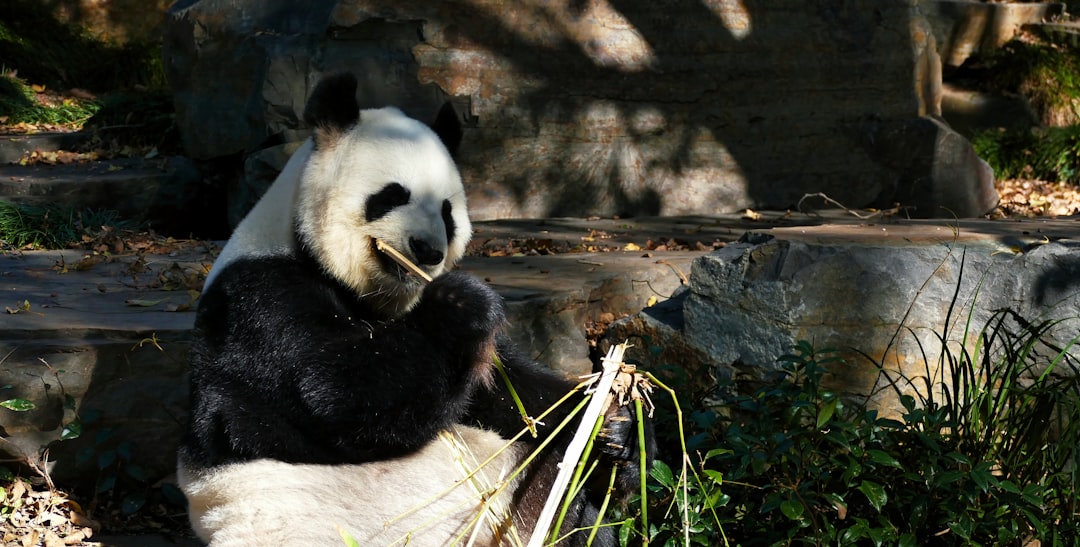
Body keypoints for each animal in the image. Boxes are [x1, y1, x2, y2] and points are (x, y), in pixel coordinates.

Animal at [177, 72, 652, 547]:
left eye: (447, 212)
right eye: (391, 196)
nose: (426, 250)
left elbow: (517, 398)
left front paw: (617, 426)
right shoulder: (260, 299)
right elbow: (337, 395)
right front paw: (464, 302)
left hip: (511, 495)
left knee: (559, 489)